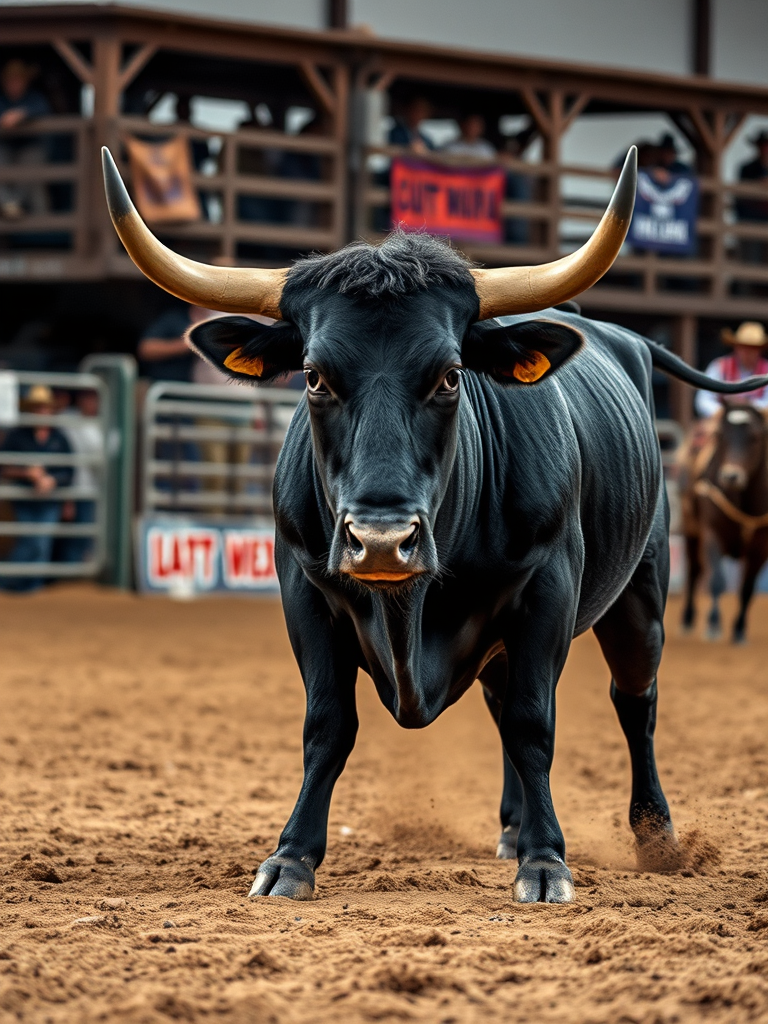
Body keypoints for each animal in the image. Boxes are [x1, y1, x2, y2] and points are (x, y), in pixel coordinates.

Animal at [681, 404, 768, 643]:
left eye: (755, 437)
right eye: (720, 435)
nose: (731, 476)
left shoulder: (761, 545)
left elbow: (747, 587)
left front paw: (739, 629)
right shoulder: (711, 534)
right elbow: (717, 580)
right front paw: (713, 624)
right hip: (691, 531)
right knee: (694, 571)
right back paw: (687, 619)